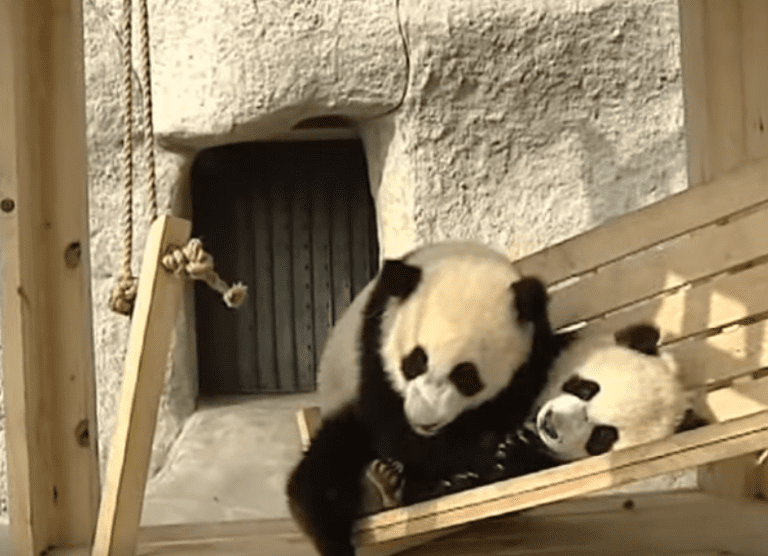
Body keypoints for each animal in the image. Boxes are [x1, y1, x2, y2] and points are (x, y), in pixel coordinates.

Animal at [286, 240, 558, 556]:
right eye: (415, 362)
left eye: (466, 376)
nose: (424, 421)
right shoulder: (375, 343)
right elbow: (392, 429)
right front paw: (444, 474)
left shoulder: (531, 357)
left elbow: (498, 416)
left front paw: (487, 459)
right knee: (324, 473)